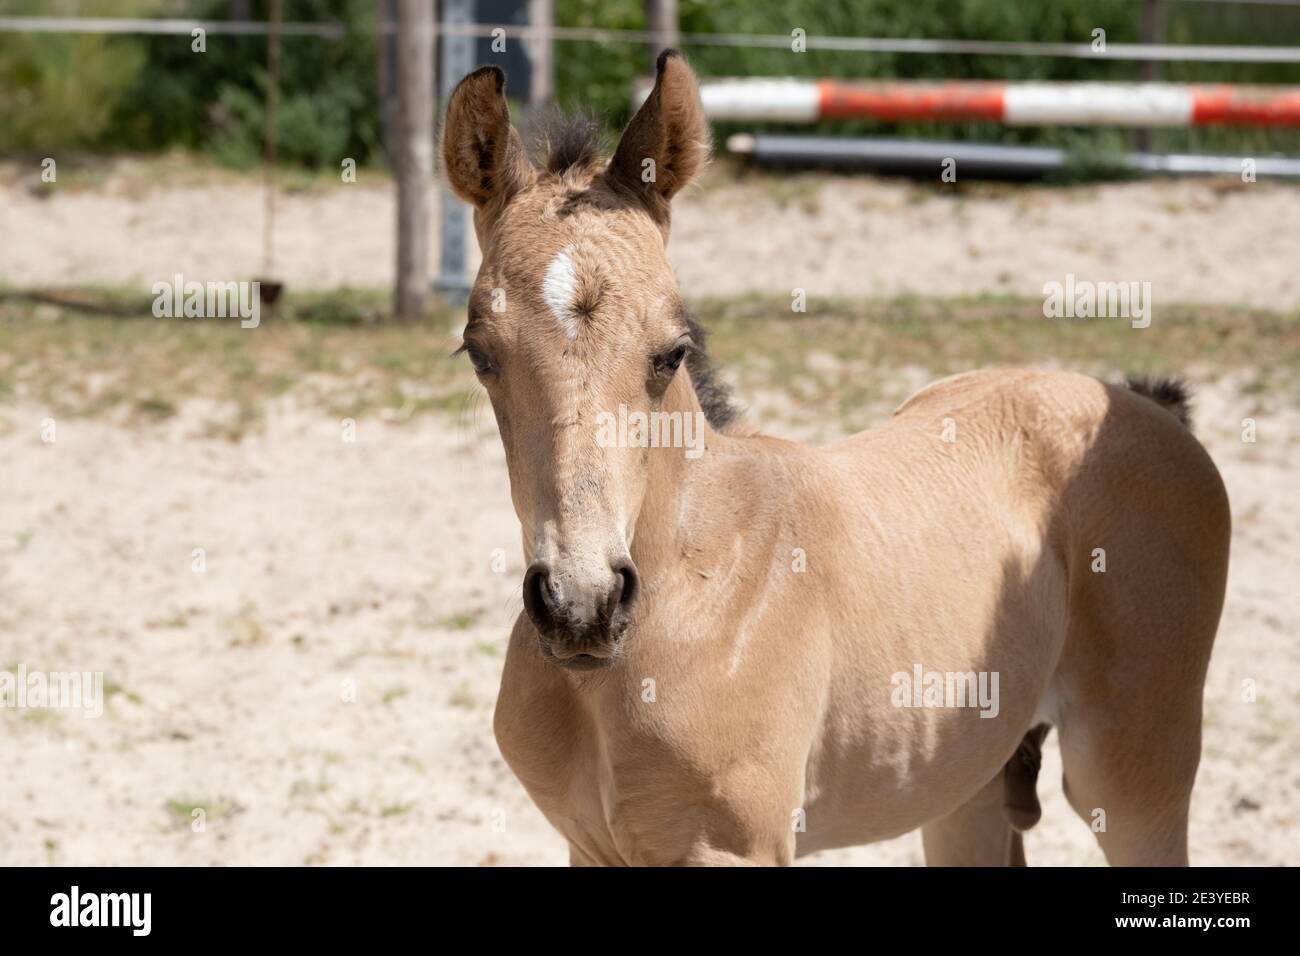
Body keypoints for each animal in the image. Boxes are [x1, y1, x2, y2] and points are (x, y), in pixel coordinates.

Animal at [440, 51, 1231, 866]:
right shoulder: (590, 847)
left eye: (673, 352)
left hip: (1133, 776)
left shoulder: (735, 848)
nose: (582, 606)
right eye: (479, 353)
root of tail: (1145, 405)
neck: (691, 583)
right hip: (967, 788)